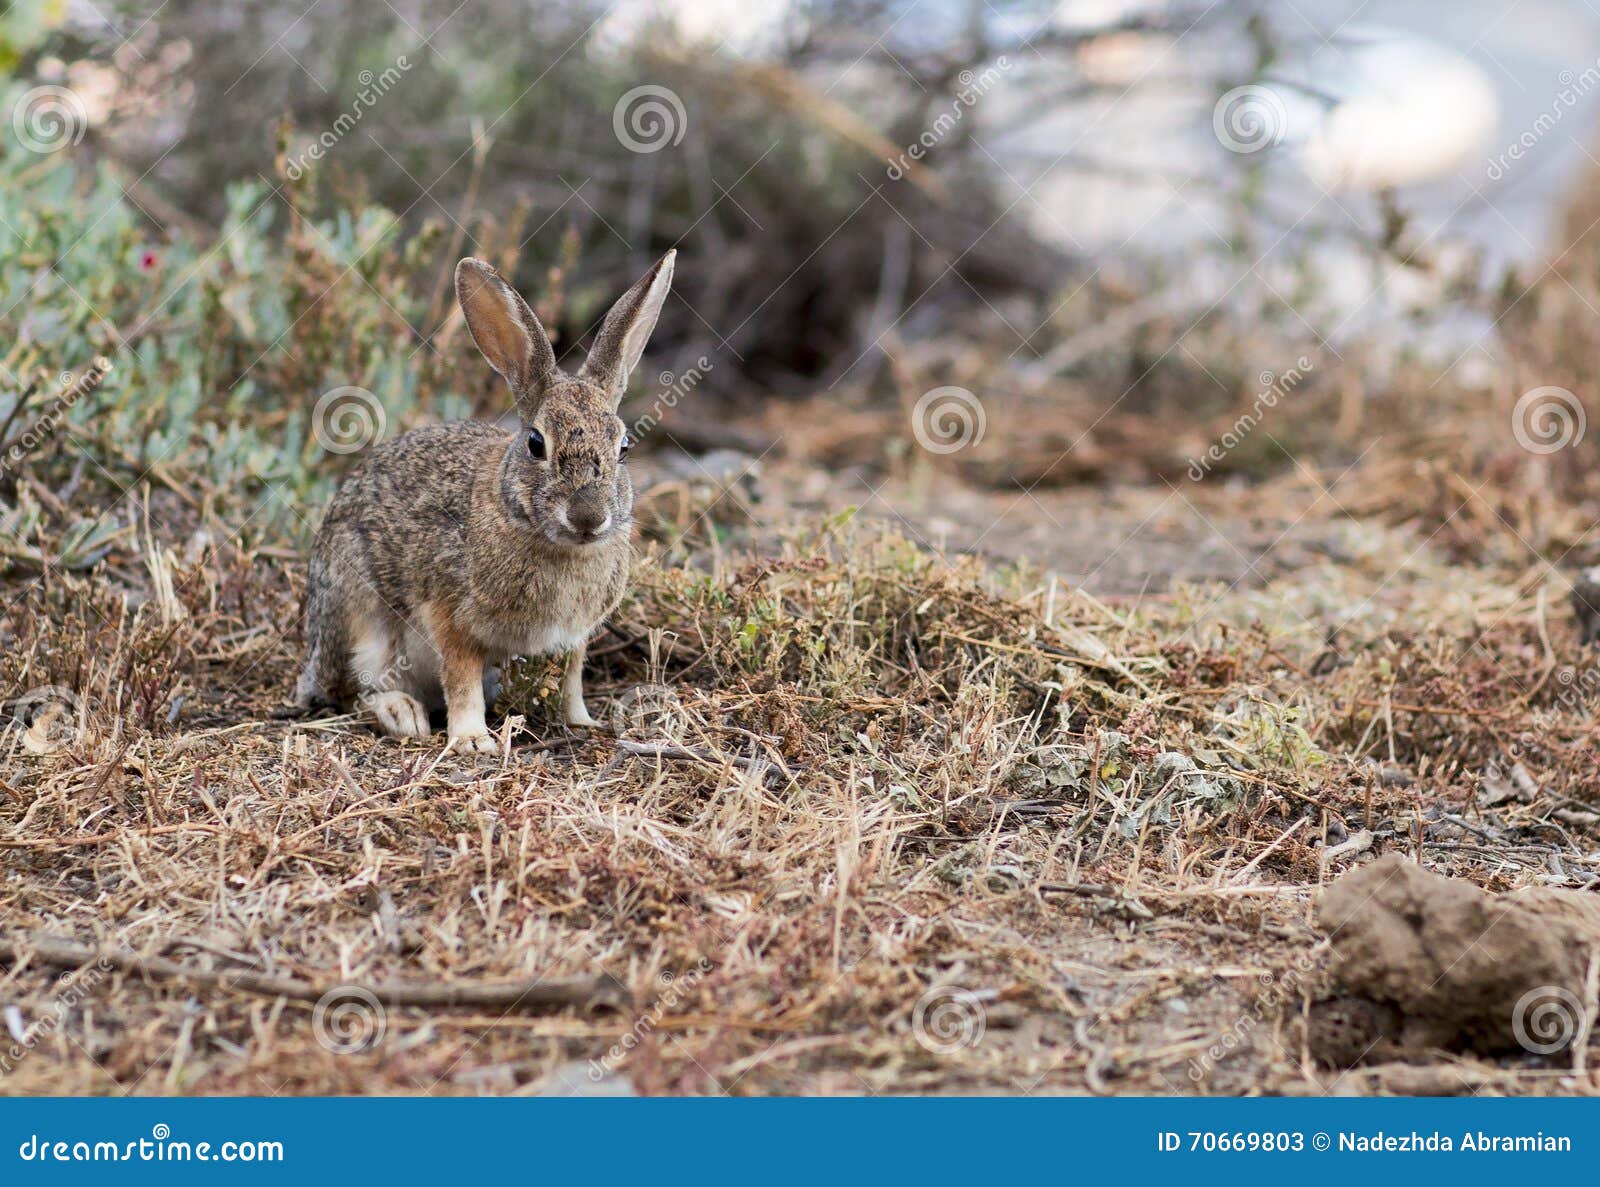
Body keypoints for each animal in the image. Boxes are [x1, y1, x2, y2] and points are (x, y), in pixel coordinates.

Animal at [295, 249, 676, 752]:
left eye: (625, 448)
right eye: (536, 443)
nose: (588, 518)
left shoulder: (575, 635)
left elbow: (571, 679)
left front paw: (582, 722)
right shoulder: (449, 618)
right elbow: (461, 680)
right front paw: (472, 740)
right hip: (358, 615)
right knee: (353, 691)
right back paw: (401, 713)